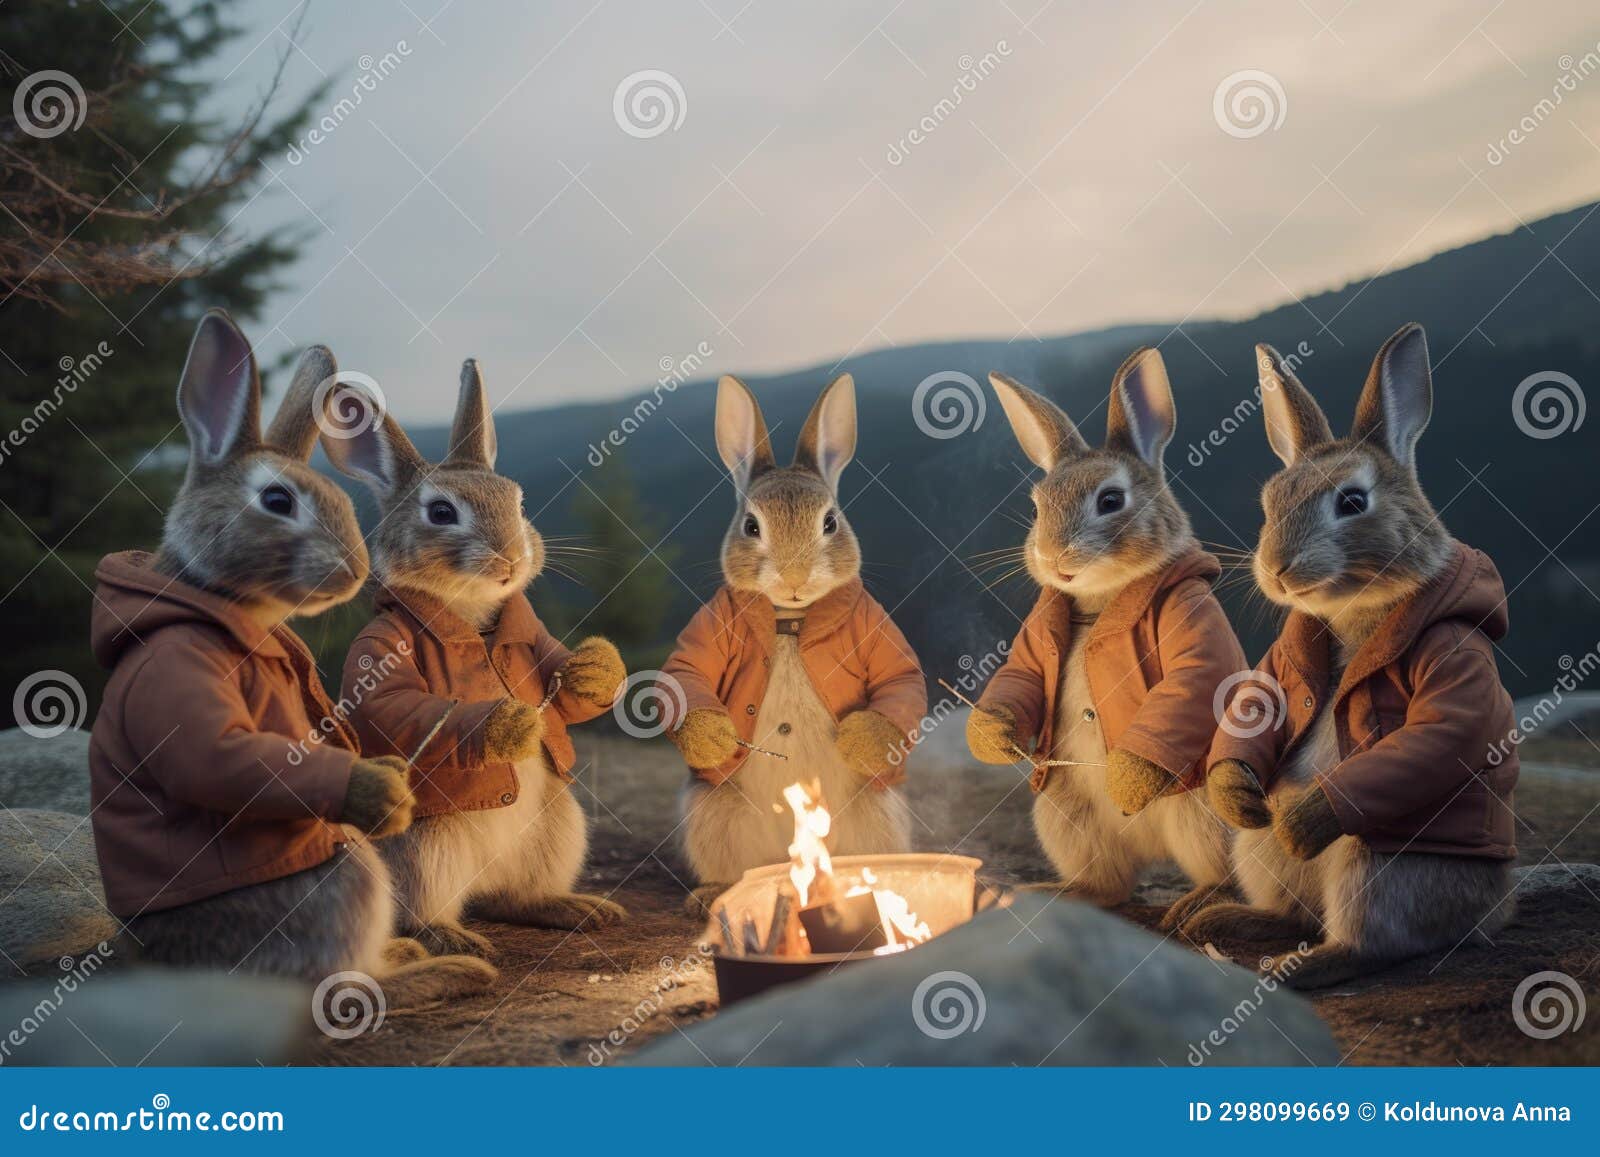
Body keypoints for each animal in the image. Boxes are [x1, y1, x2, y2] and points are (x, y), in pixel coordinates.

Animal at [101, 310, 494, 1007]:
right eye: (278, 501)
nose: (355, 571)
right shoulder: (181, 679)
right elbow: (215, 759)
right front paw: (380, 790)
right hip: (347, 875)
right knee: (332, 990)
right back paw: (437, 971)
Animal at [328, 359, 628, 959]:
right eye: (441, 512)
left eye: (519, 503)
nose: (511, 558)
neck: (471, 614)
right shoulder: (382, 654)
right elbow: (394, 708)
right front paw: (507, 725)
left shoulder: (534, 644)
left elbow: (563, 680)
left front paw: (594, 669)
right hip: (429, 850)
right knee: (425, 908)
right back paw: (454, 939)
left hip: (558, 826)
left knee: (514, 898)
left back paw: (575, 908)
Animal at [662, 374, 926, 916]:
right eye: (751, 526)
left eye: (830, 522)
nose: (794, 577)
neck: (791, 618)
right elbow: (684, 673)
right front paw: (714, 736)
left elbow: (902, 680)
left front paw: (860, 738)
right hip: (711, 815)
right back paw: (716, 896)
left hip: (876, 814)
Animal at [966, 349, 1240, 931]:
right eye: (1037, 507)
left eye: (1111, 500)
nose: (1055, 559)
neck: (1098, 602)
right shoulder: (1034, 643)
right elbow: (1019, 677)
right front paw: (993, 737)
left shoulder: (1190, 620)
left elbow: (1194, 678)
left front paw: (1128, 778)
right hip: (1063, 815)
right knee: (1110, 885)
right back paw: (1064, 893)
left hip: (1203, 813)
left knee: (1221, 869)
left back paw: (1197, 904)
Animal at [1183, 323, 1518, 989]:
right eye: (1270, 503)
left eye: (1353, 503)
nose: (1278, 569)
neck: (1356, 610)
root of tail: (1491, 916)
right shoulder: (1279, 670)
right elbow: (1250, 712)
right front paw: (1235, 793)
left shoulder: (1450, 660)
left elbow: (1438, 735)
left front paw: (1303, 822)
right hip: (1255, 852)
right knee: (1292, 909)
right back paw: (1226, 919)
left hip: (1377, 870)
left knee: (1364, 941)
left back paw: (1298, 964)